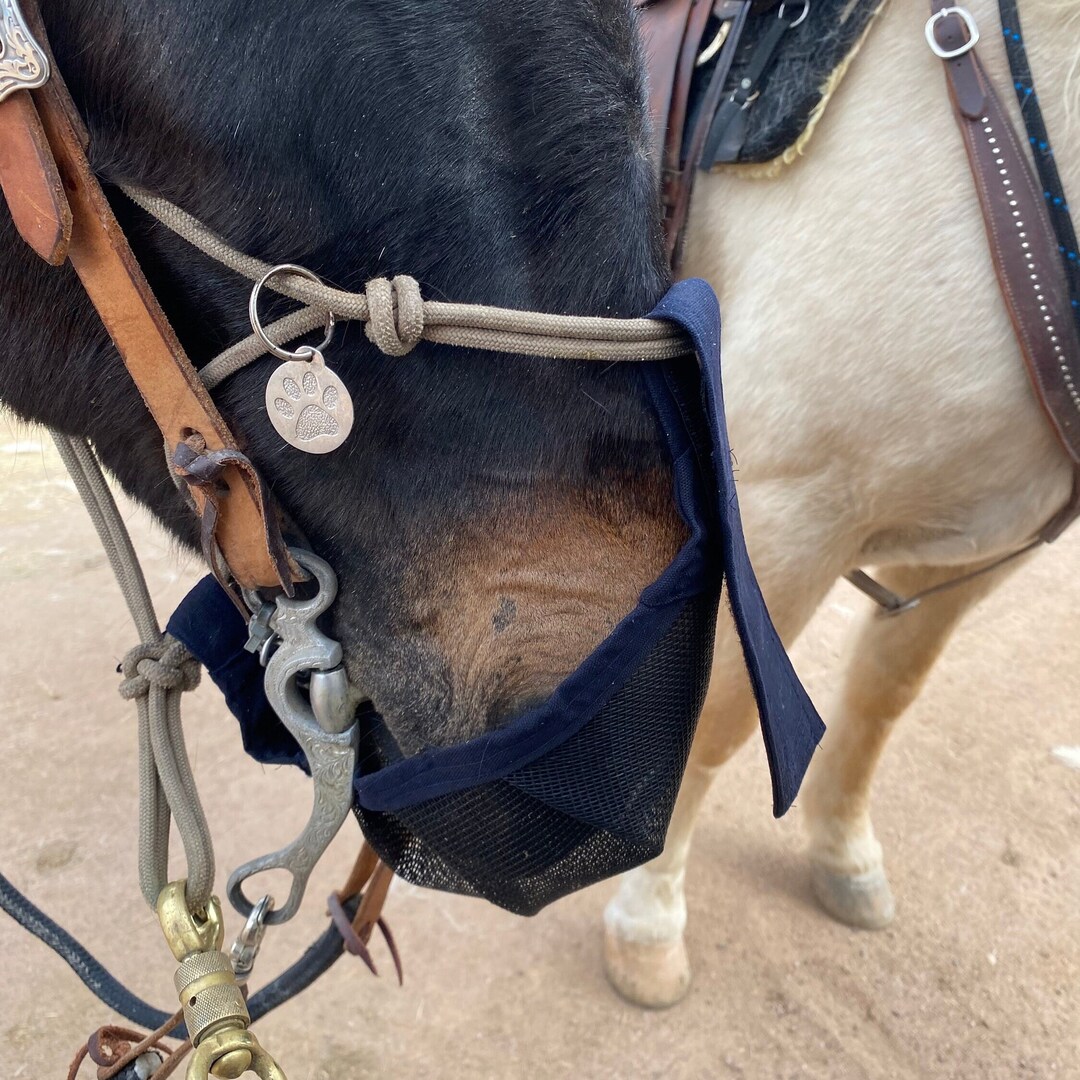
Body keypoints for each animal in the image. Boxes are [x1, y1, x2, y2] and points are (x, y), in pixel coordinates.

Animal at [603, 0, 1080, 1007]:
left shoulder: (979, 544)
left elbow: (886, 692)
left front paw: (843, 851)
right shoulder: (786, 511)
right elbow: (720, 722)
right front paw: (650, 922)